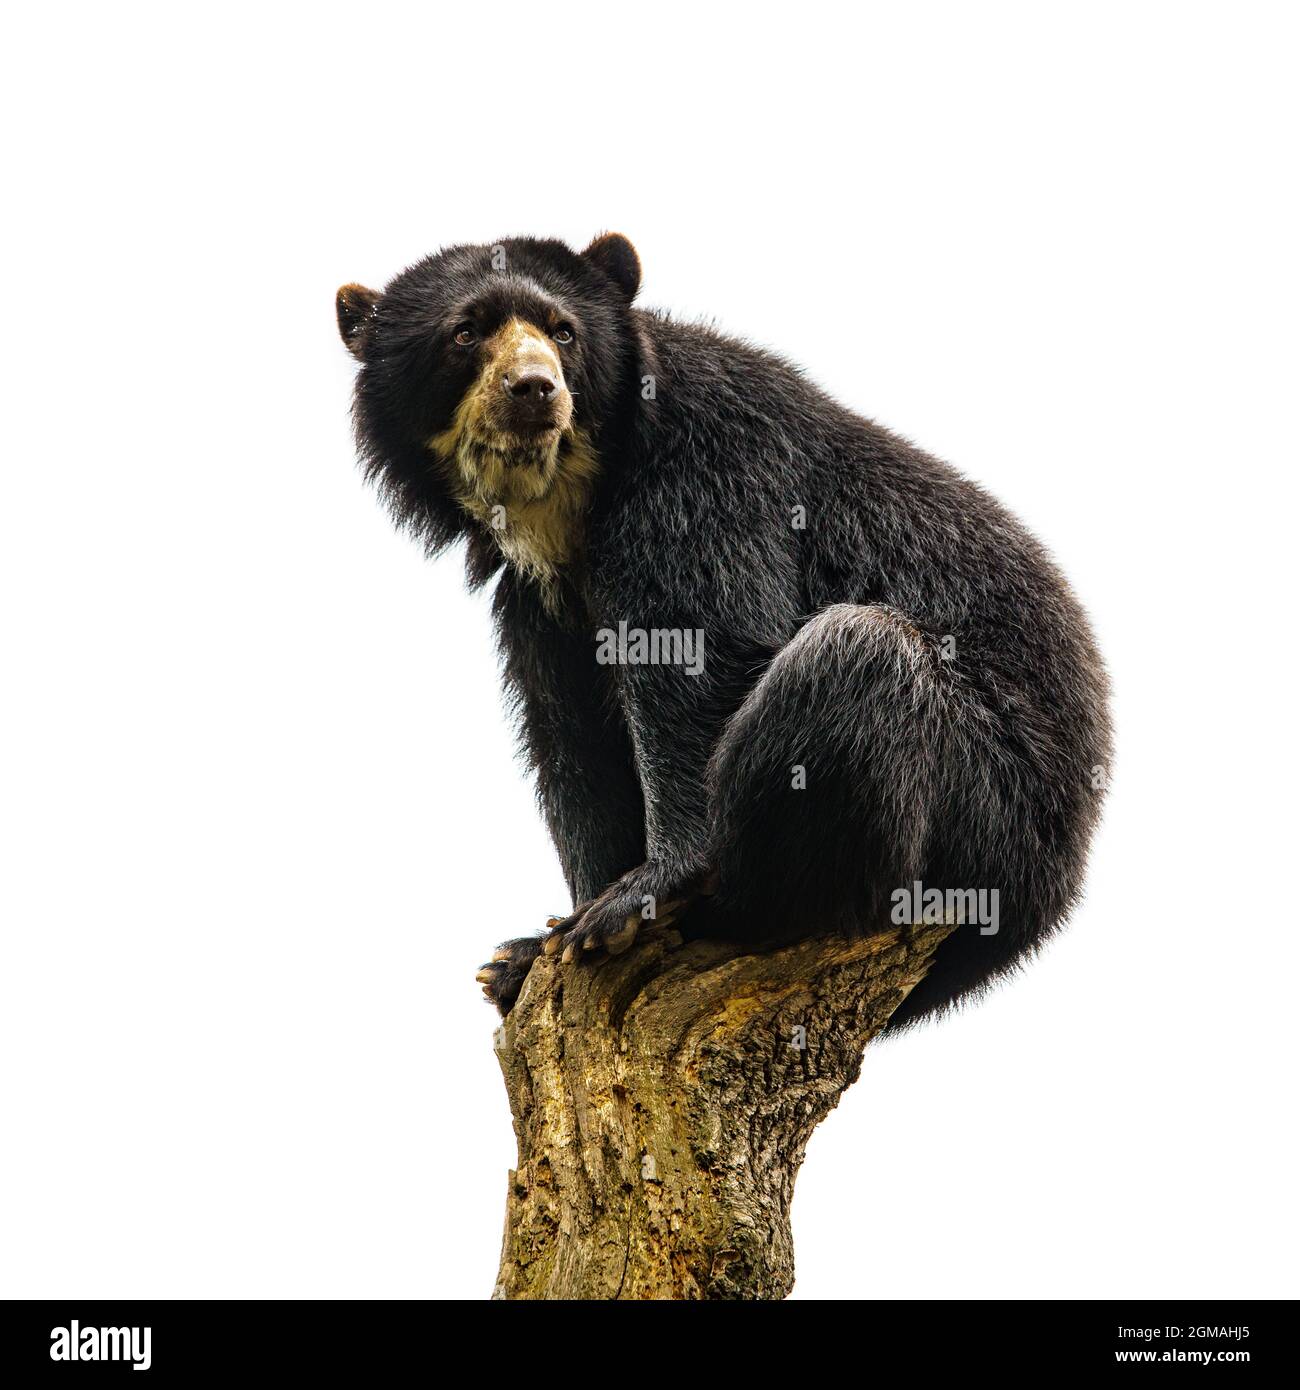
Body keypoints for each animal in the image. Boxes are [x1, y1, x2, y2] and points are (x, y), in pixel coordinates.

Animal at [336, 232, 1111, 1029]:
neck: (567, 503)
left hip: (993, 804)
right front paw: (538, 944)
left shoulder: (708, 468)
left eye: (562, 331)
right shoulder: (535, 601)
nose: (533, 389)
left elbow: (701, 647)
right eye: (465, 335)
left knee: (858, 656)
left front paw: (633, 899)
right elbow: (572, 736)